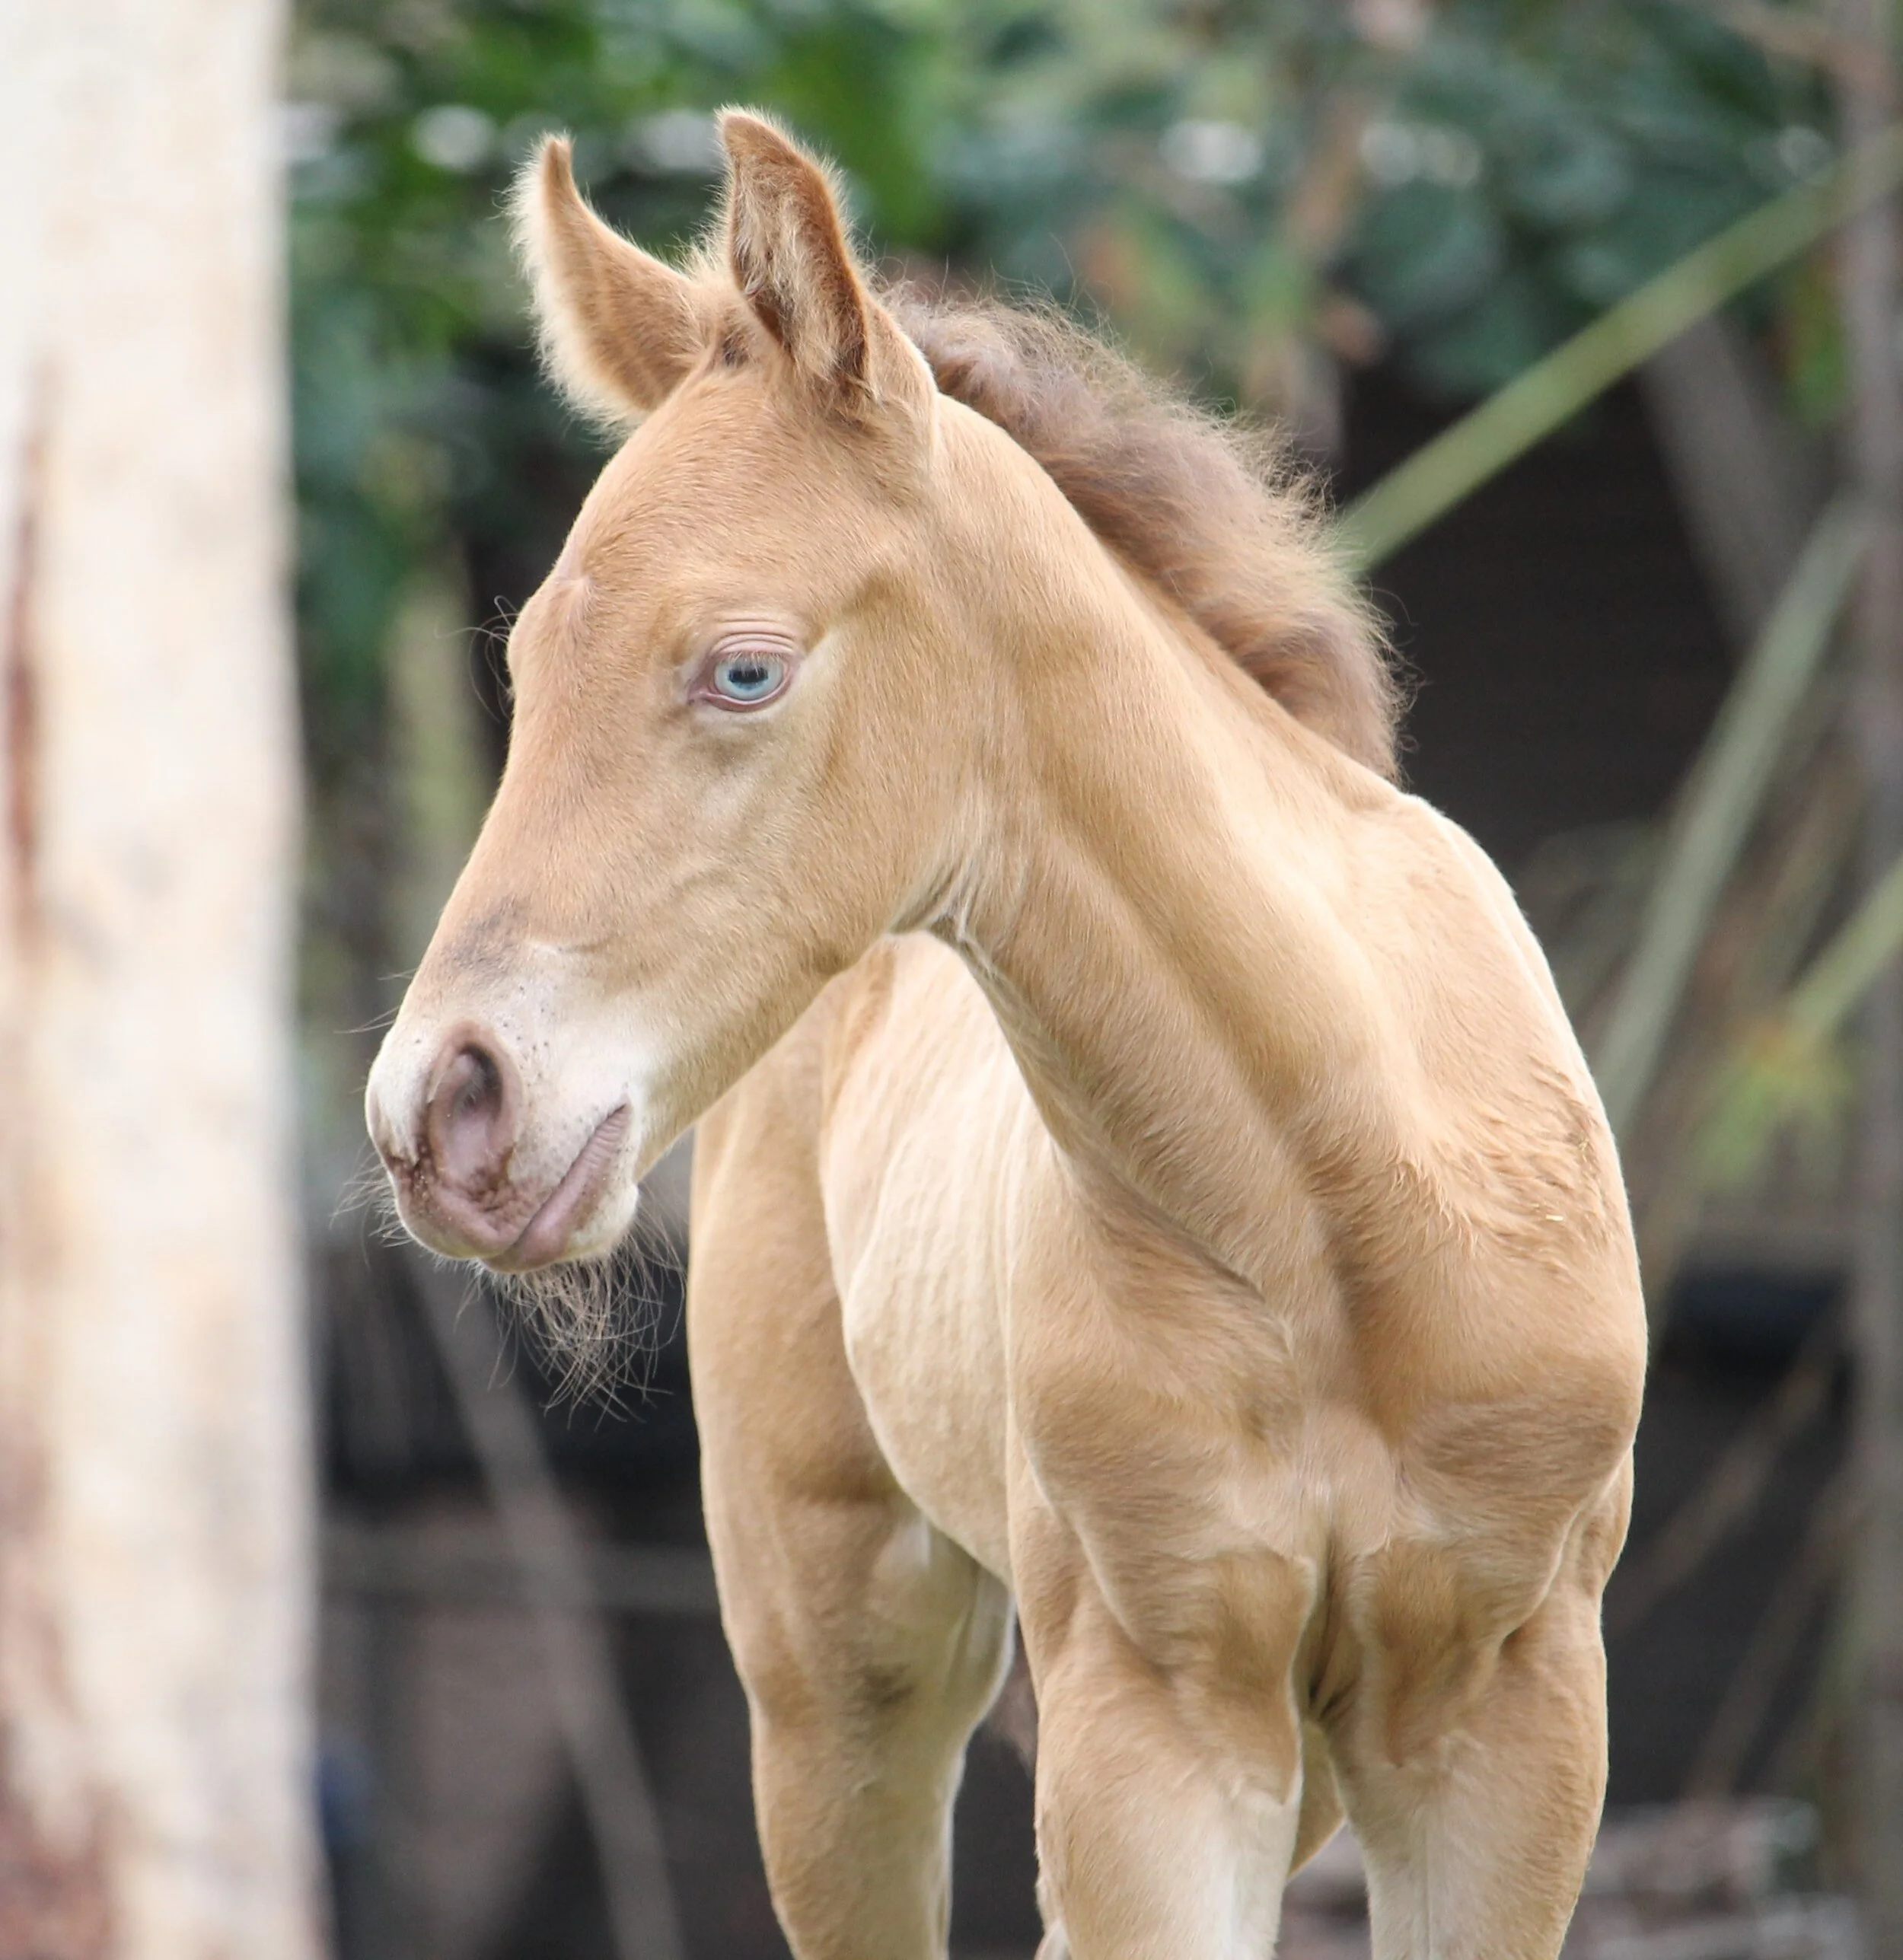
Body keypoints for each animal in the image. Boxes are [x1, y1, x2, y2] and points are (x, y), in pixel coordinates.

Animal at [366, 110, 1647, 1959]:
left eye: (741, 670)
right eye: (528, 659)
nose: (442, 1110)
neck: (1349, 1215)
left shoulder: (1506, 1718)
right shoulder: (1157, 1716)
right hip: (842, 1674)